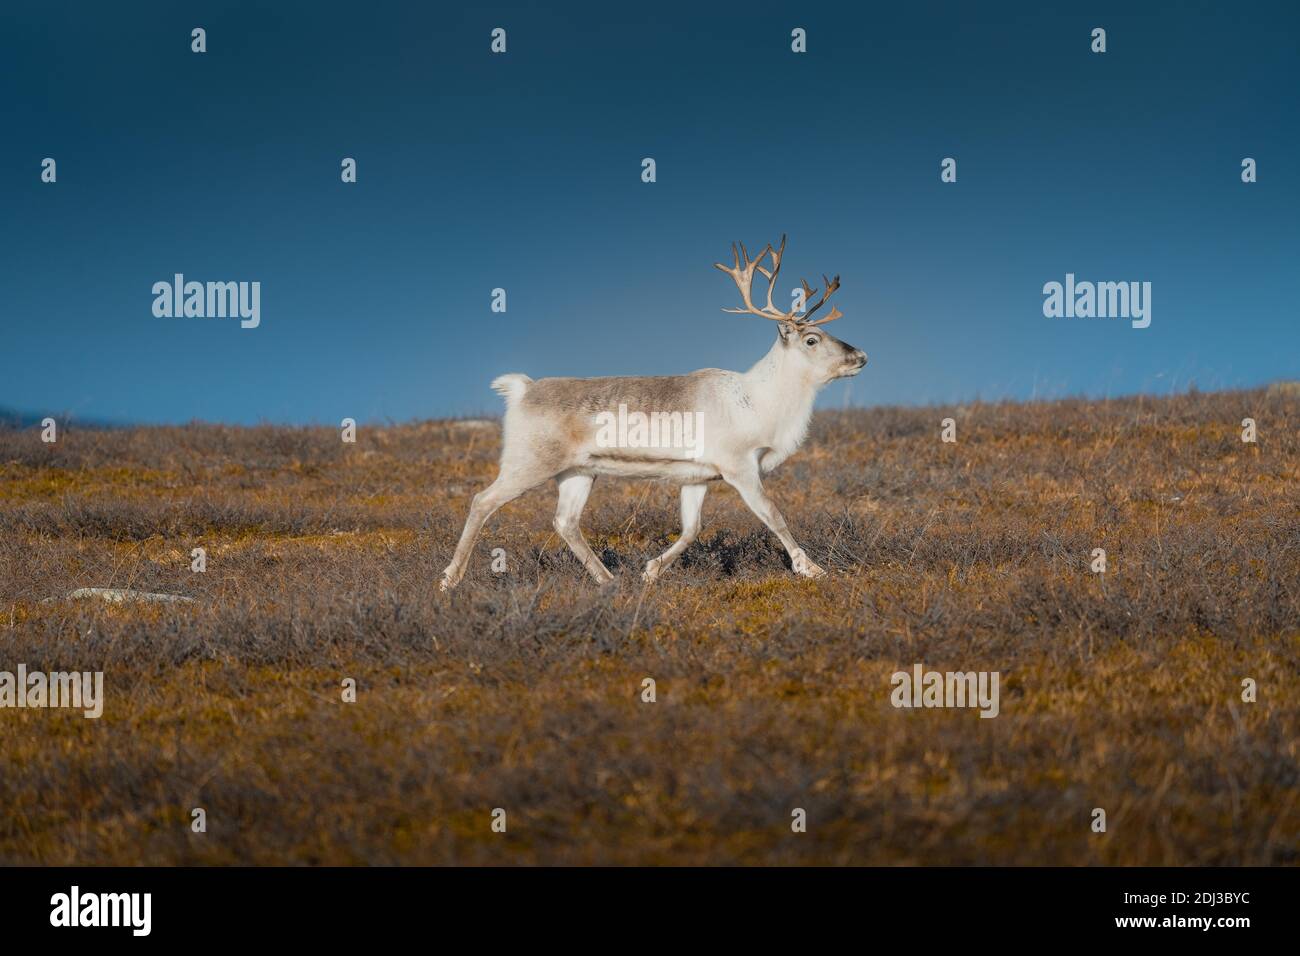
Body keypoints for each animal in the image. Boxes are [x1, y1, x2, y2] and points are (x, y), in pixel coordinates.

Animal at [440, 235, 867, 591]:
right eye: (811, 339)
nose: (861, 356)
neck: (759, 398)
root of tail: (523, 389)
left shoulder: (697, 477)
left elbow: (692, 528)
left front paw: (650, 571)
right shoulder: (740, 468)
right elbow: (774, 515)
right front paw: (812, 569)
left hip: (578, 472)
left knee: (565, 522)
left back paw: (609, 580)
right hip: (528, 462)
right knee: (482, 501)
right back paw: (449, 580)